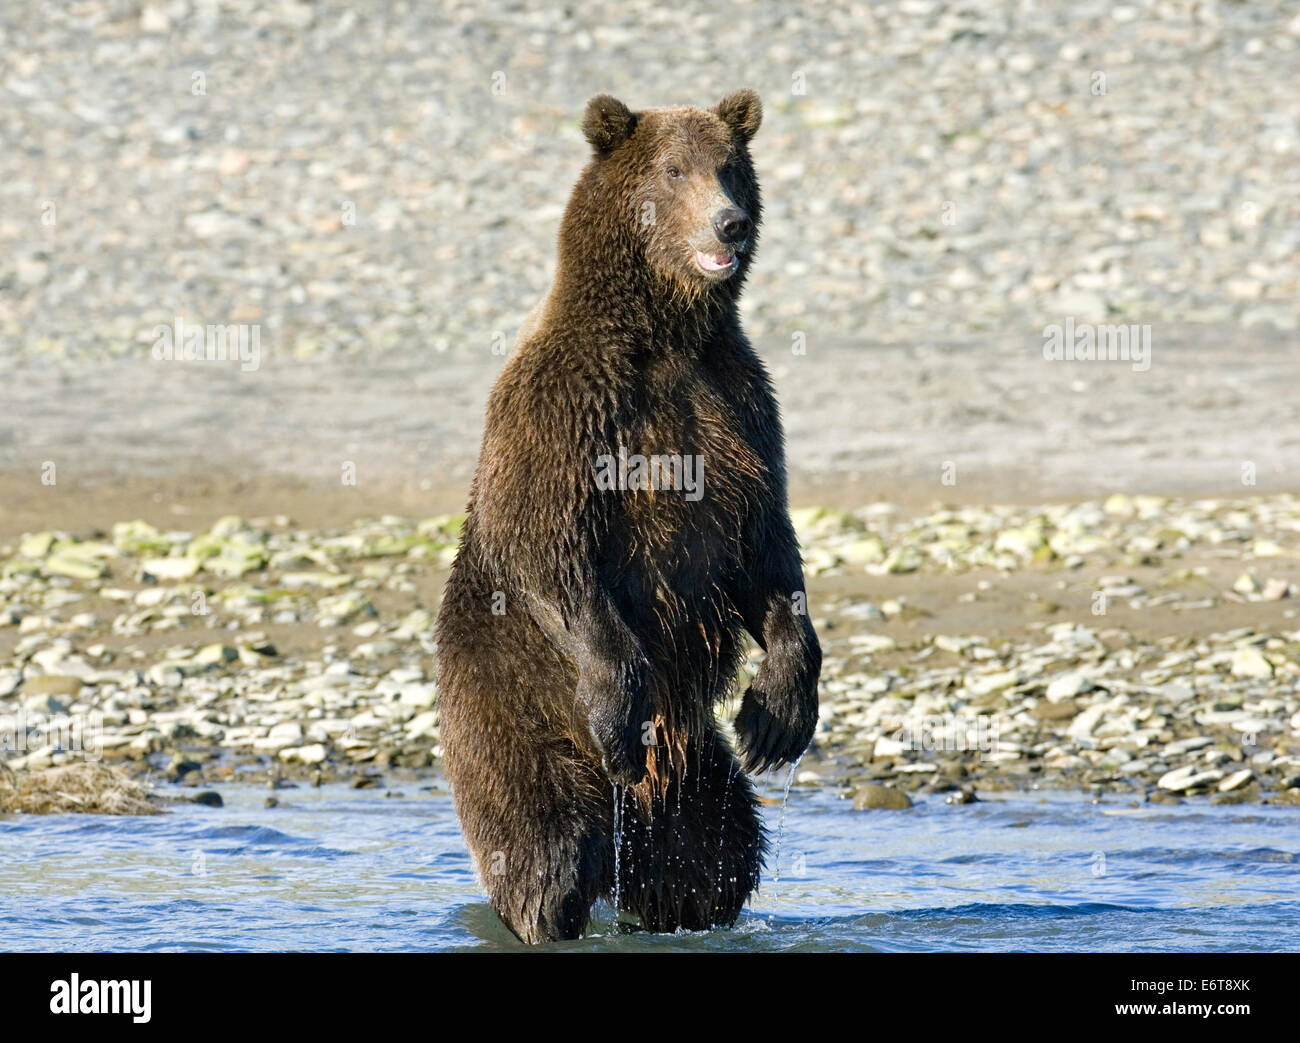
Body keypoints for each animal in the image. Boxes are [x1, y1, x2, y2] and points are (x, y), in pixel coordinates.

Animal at [434, 89, 821, 944]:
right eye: (673, 170)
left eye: (730, 167)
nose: (728, 224)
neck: (666, 334)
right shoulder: (569, 408)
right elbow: (550, 546)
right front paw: (619, 705)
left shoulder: (737, 404)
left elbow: (766, 549)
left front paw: (778, 712)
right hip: (508, 704)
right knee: (541, 849)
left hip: (695, 772)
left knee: (714, 859)